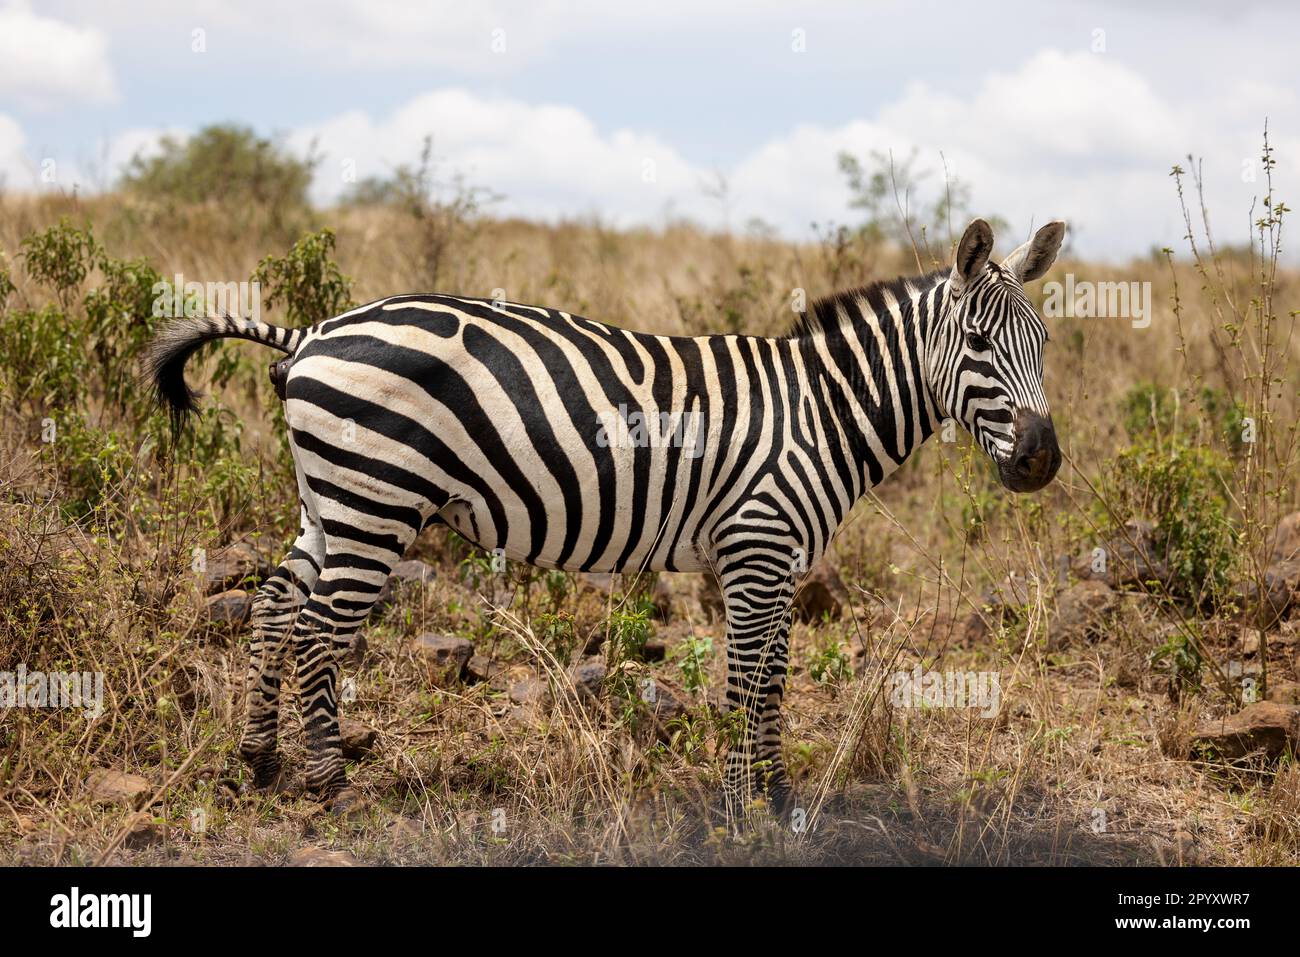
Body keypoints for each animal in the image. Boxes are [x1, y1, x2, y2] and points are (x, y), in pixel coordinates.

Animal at [145, 217, 1064, 813]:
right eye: (980, 345)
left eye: (1047, 344)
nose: (1042, 460)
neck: (818, 410)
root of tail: (310, 333)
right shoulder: (757, 546)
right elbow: (745, 681)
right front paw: (742, 807)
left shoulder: (783, 556)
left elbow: (774, 676)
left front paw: (776, 796)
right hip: (377, 500)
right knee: (317, 631)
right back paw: (330, 786)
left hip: (330, 500)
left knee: (273, 606)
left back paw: (259, 760)